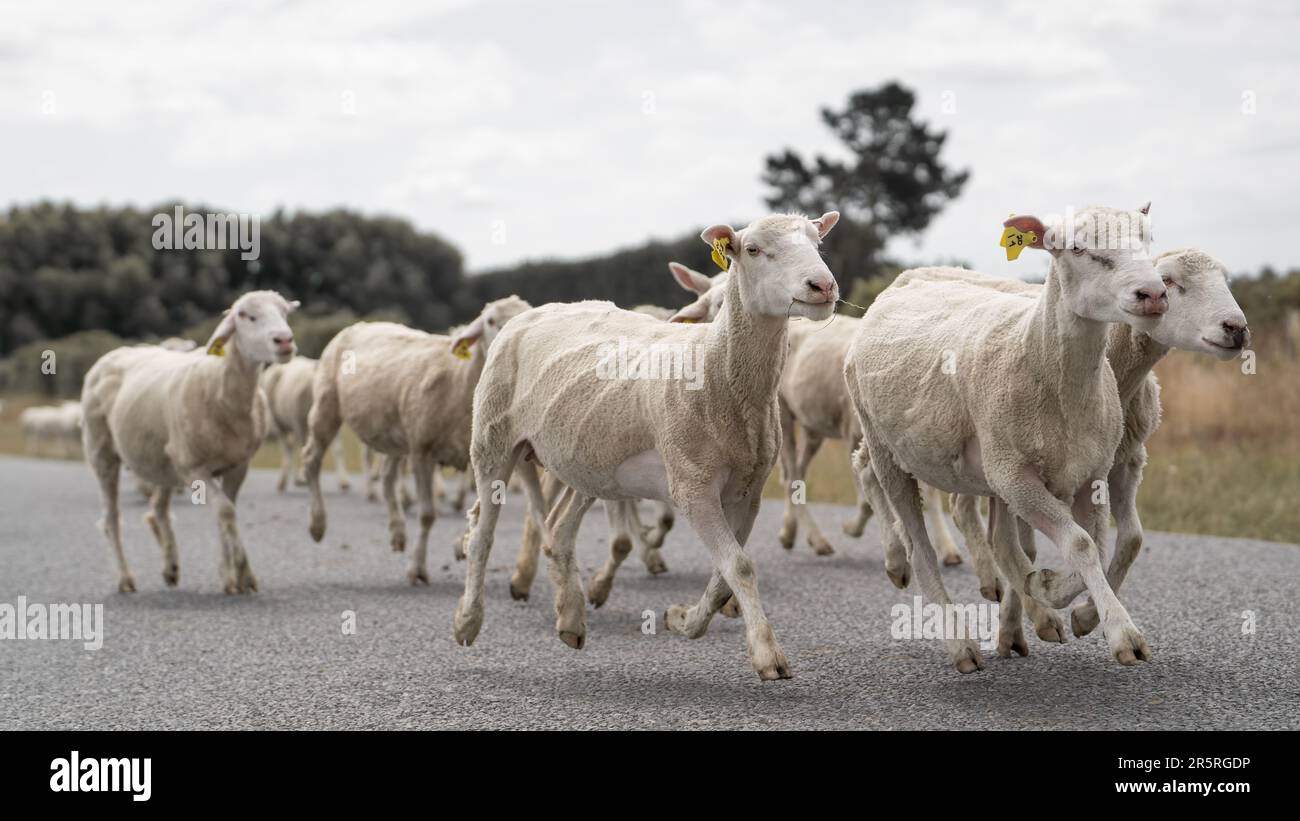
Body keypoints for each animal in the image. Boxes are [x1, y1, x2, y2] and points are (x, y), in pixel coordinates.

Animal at [81, 290, 299, 593]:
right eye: (244, 315)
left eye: (285, 313)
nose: (285, 341)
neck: (222, 387)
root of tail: (118, 352)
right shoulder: (195, 468)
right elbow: (226, 512)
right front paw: (244, 572)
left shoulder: (238, 465)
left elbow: (224, 515)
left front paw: (229, 576)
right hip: (103, 453)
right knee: (111, 517)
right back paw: (125, 579)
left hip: (162, 461)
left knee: (158, 510)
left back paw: (170, 568)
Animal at [260, 356, 351, 493]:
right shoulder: (299, 423)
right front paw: (303, 476)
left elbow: (338, 450)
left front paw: (344, 482)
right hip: (281, 422)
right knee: (288, 448)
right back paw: (288, 480)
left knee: (292, 446)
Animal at [303, 296, 531, 584]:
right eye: (490, 320)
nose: (509, 343)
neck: (459, 377)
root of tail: (361, 324)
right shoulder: (422, 450)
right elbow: (427, 515)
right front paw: (417, 568)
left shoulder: (479, 454)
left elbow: (476, 510)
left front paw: (461, 544)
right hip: (326, 403)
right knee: (312, 459)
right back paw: (317, 525)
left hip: (393, 432)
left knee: (387, 476)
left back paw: (398, 532)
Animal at [453, 212, 841, 681]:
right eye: (752, 250)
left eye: (817, 243)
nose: (823, 287)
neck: (715, 365)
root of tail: (533, 311)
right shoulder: (692, 486)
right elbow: (740, 565)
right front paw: (768, 654)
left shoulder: (748, 491)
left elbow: (724, 573)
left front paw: (682, 620)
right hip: (492, 440)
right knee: (482, 533)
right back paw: (468, 621)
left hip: (587, 459)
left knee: (559, 528)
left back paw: (571, 619)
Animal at [844, 205, 1169, 672]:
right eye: (1076, 248)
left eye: (1147, 238)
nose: (1153, 294)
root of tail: (904, 280)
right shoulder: (1014, 475)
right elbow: (1081, 543)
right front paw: (1122, 633)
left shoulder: (1090, 474)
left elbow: (1091, 546)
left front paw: (1050, 590)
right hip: (888, 445)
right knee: (918, 544)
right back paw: (957, 639)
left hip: (990, 468)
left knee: (1000, 544)